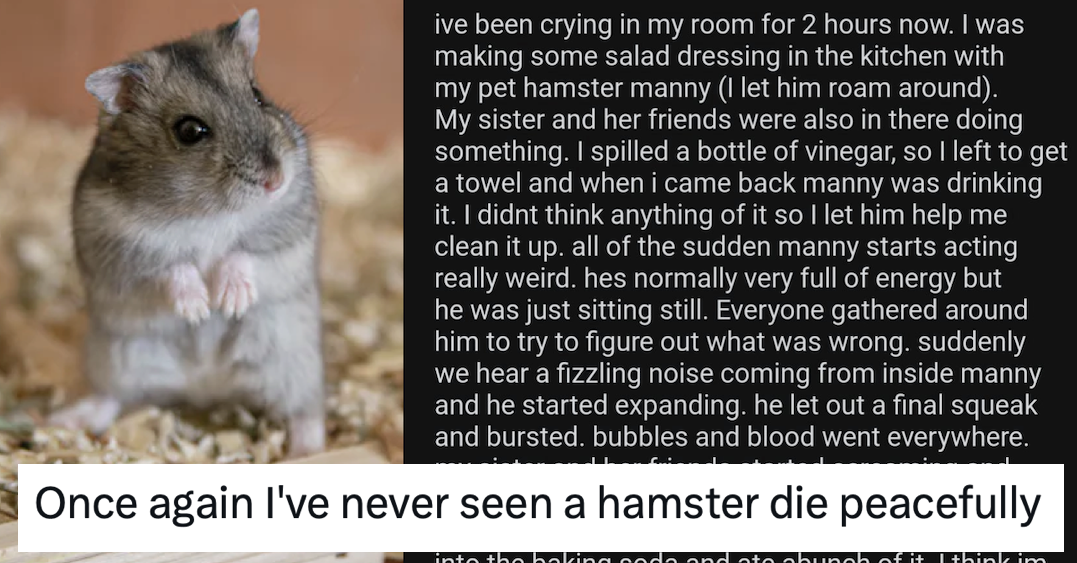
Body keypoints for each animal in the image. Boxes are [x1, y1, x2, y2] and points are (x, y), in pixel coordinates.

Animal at [48, 8, 326, 459]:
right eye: (190, 131)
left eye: (257, 95)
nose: (276, 180)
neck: (208, 211)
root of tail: (206, 388)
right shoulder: (119, 249)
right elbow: (170, 267)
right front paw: (198, 309)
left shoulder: (289, 231)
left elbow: (245, 253)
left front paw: (228, 302)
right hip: (117, 357)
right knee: (111, 397)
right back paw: (63, 419)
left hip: (293, 360)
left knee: (306, 410)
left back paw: (307, 451)